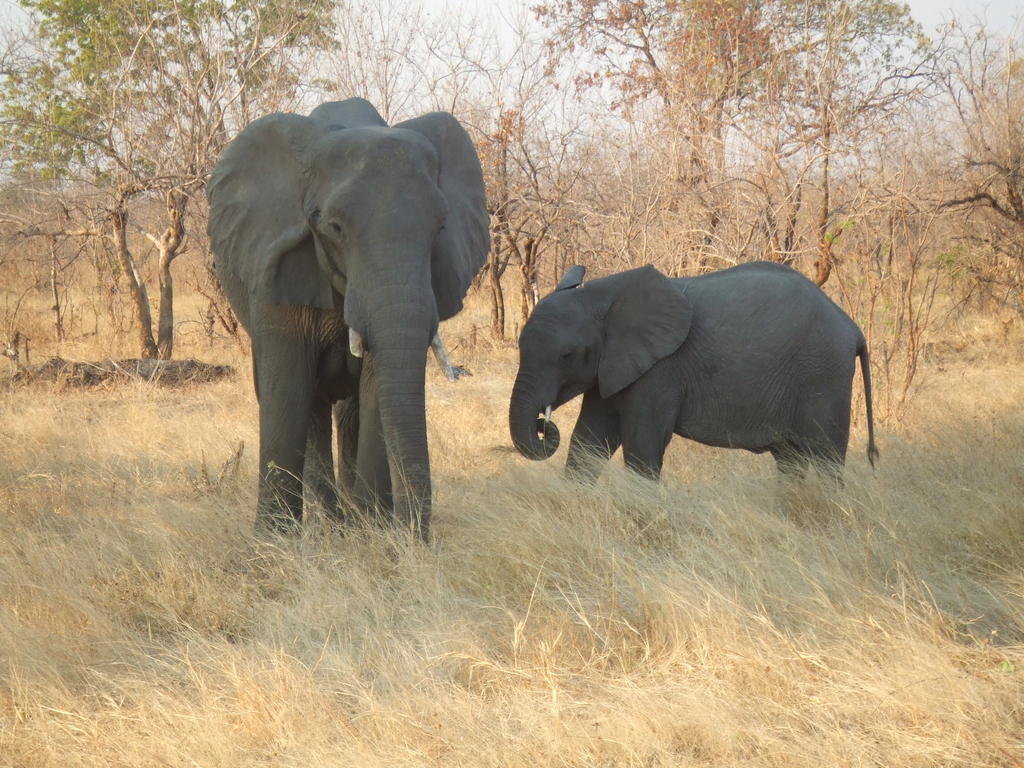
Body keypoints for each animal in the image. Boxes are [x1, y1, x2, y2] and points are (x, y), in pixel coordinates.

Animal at [207, 98, 489, 538]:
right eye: (335, 227)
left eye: (441, 226)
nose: (414, 538)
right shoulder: (273, 264)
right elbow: (286, 385)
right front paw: (273, 544)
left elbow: (377, 385)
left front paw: (373, 533)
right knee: (310, 405)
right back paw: (330, 521)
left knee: (348, 410)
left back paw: (348, 520)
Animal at [509, 262, 878, 483]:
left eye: (567, 355)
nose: (544, 425)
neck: (603, 295)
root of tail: (853, 328)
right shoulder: (612, 368)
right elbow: (588, 440)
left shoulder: (661, 370)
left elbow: (643, 445)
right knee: (791, 460)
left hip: (824, 375)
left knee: (826, 458)